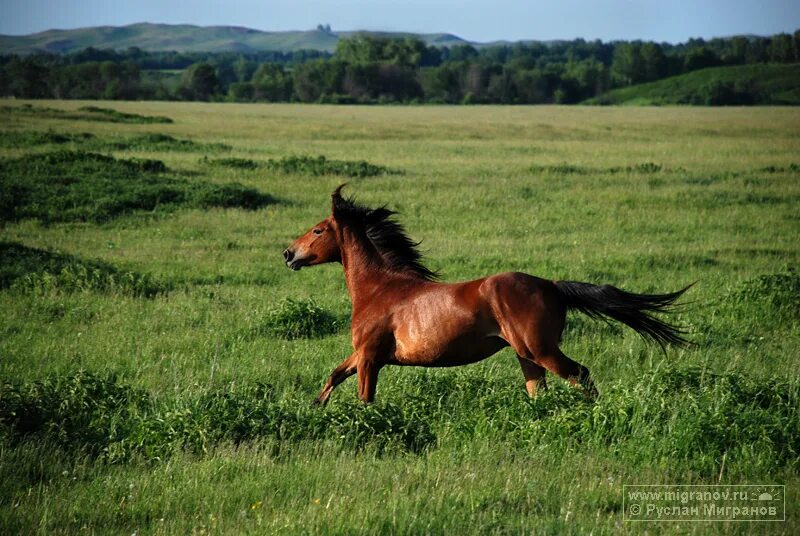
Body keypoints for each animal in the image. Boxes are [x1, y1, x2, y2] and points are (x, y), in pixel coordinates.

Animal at [282, 186, 688, 404]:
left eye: (318, 230)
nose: (288, 254)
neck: (380, 288)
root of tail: (552, 285)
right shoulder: (366, 355)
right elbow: (334, 375)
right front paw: (315, 407)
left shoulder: (370, 358)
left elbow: (365, 400)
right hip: (526, 356)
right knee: (538, 392)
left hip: (541, 350)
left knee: (581, 375)